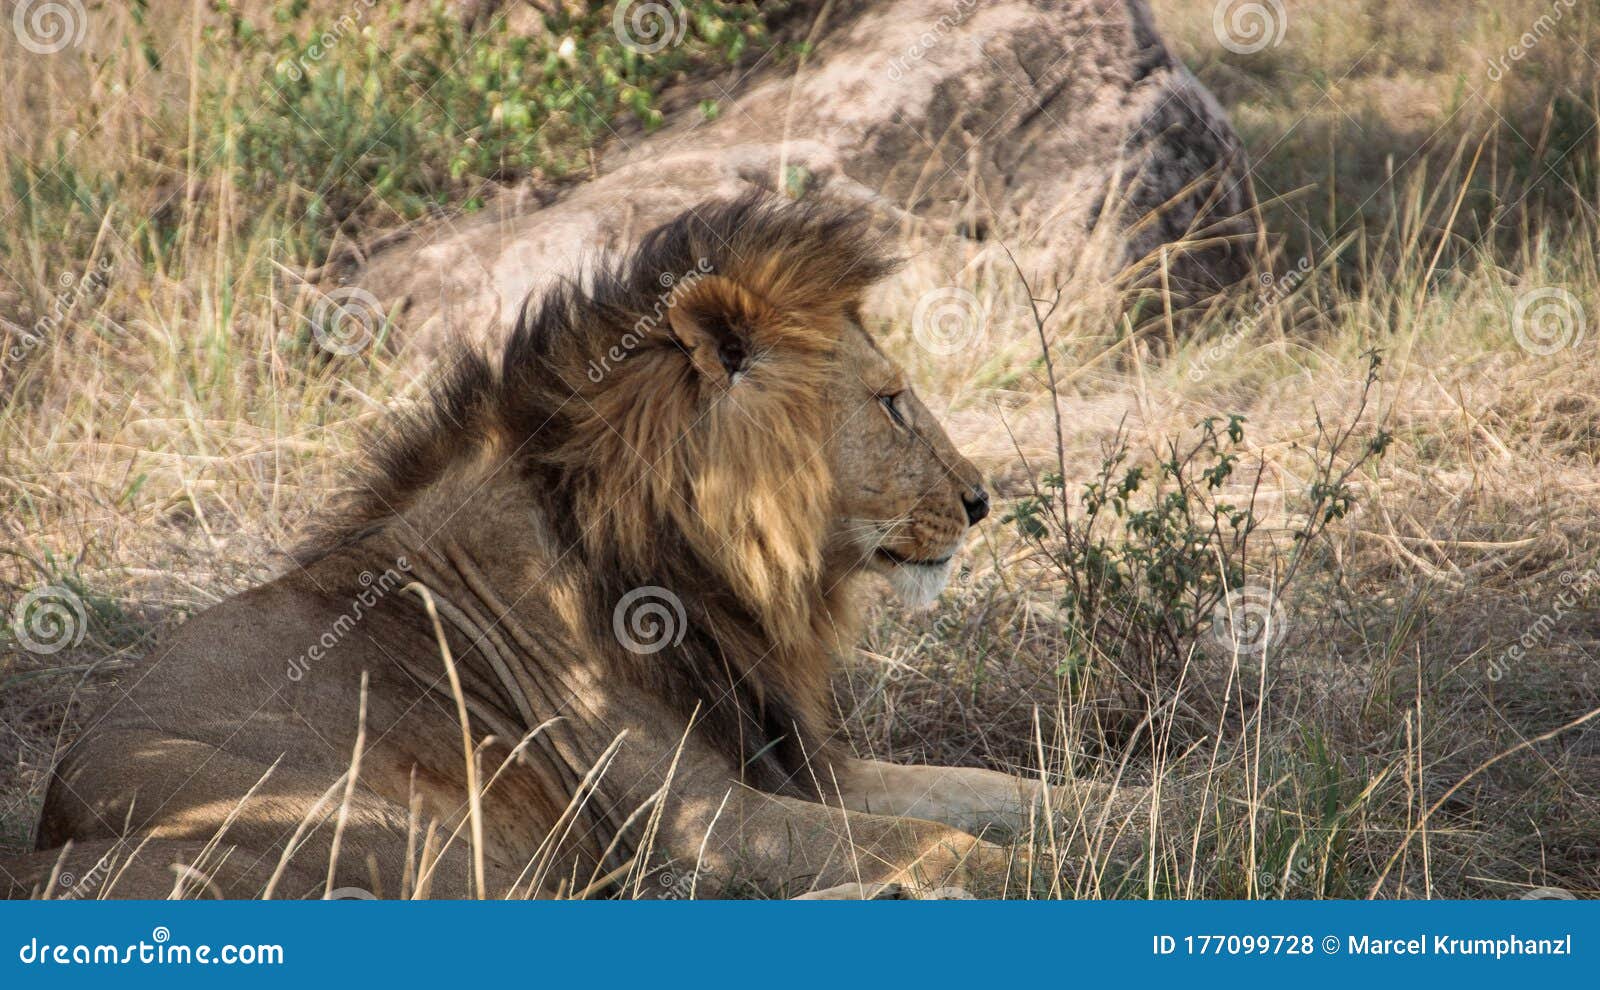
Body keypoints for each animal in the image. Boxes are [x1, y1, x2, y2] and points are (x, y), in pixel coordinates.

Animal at [5, 195, 1149, 900]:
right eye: (892, 403)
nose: (979, 502)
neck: (702, 572)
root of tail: (47, 844)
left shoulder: (799, 768)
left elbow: (996, 790)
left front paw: (1150, 807)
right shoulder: (706, 820)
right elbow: (944, 833)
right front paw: (1033, 872)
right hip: (411, 831)